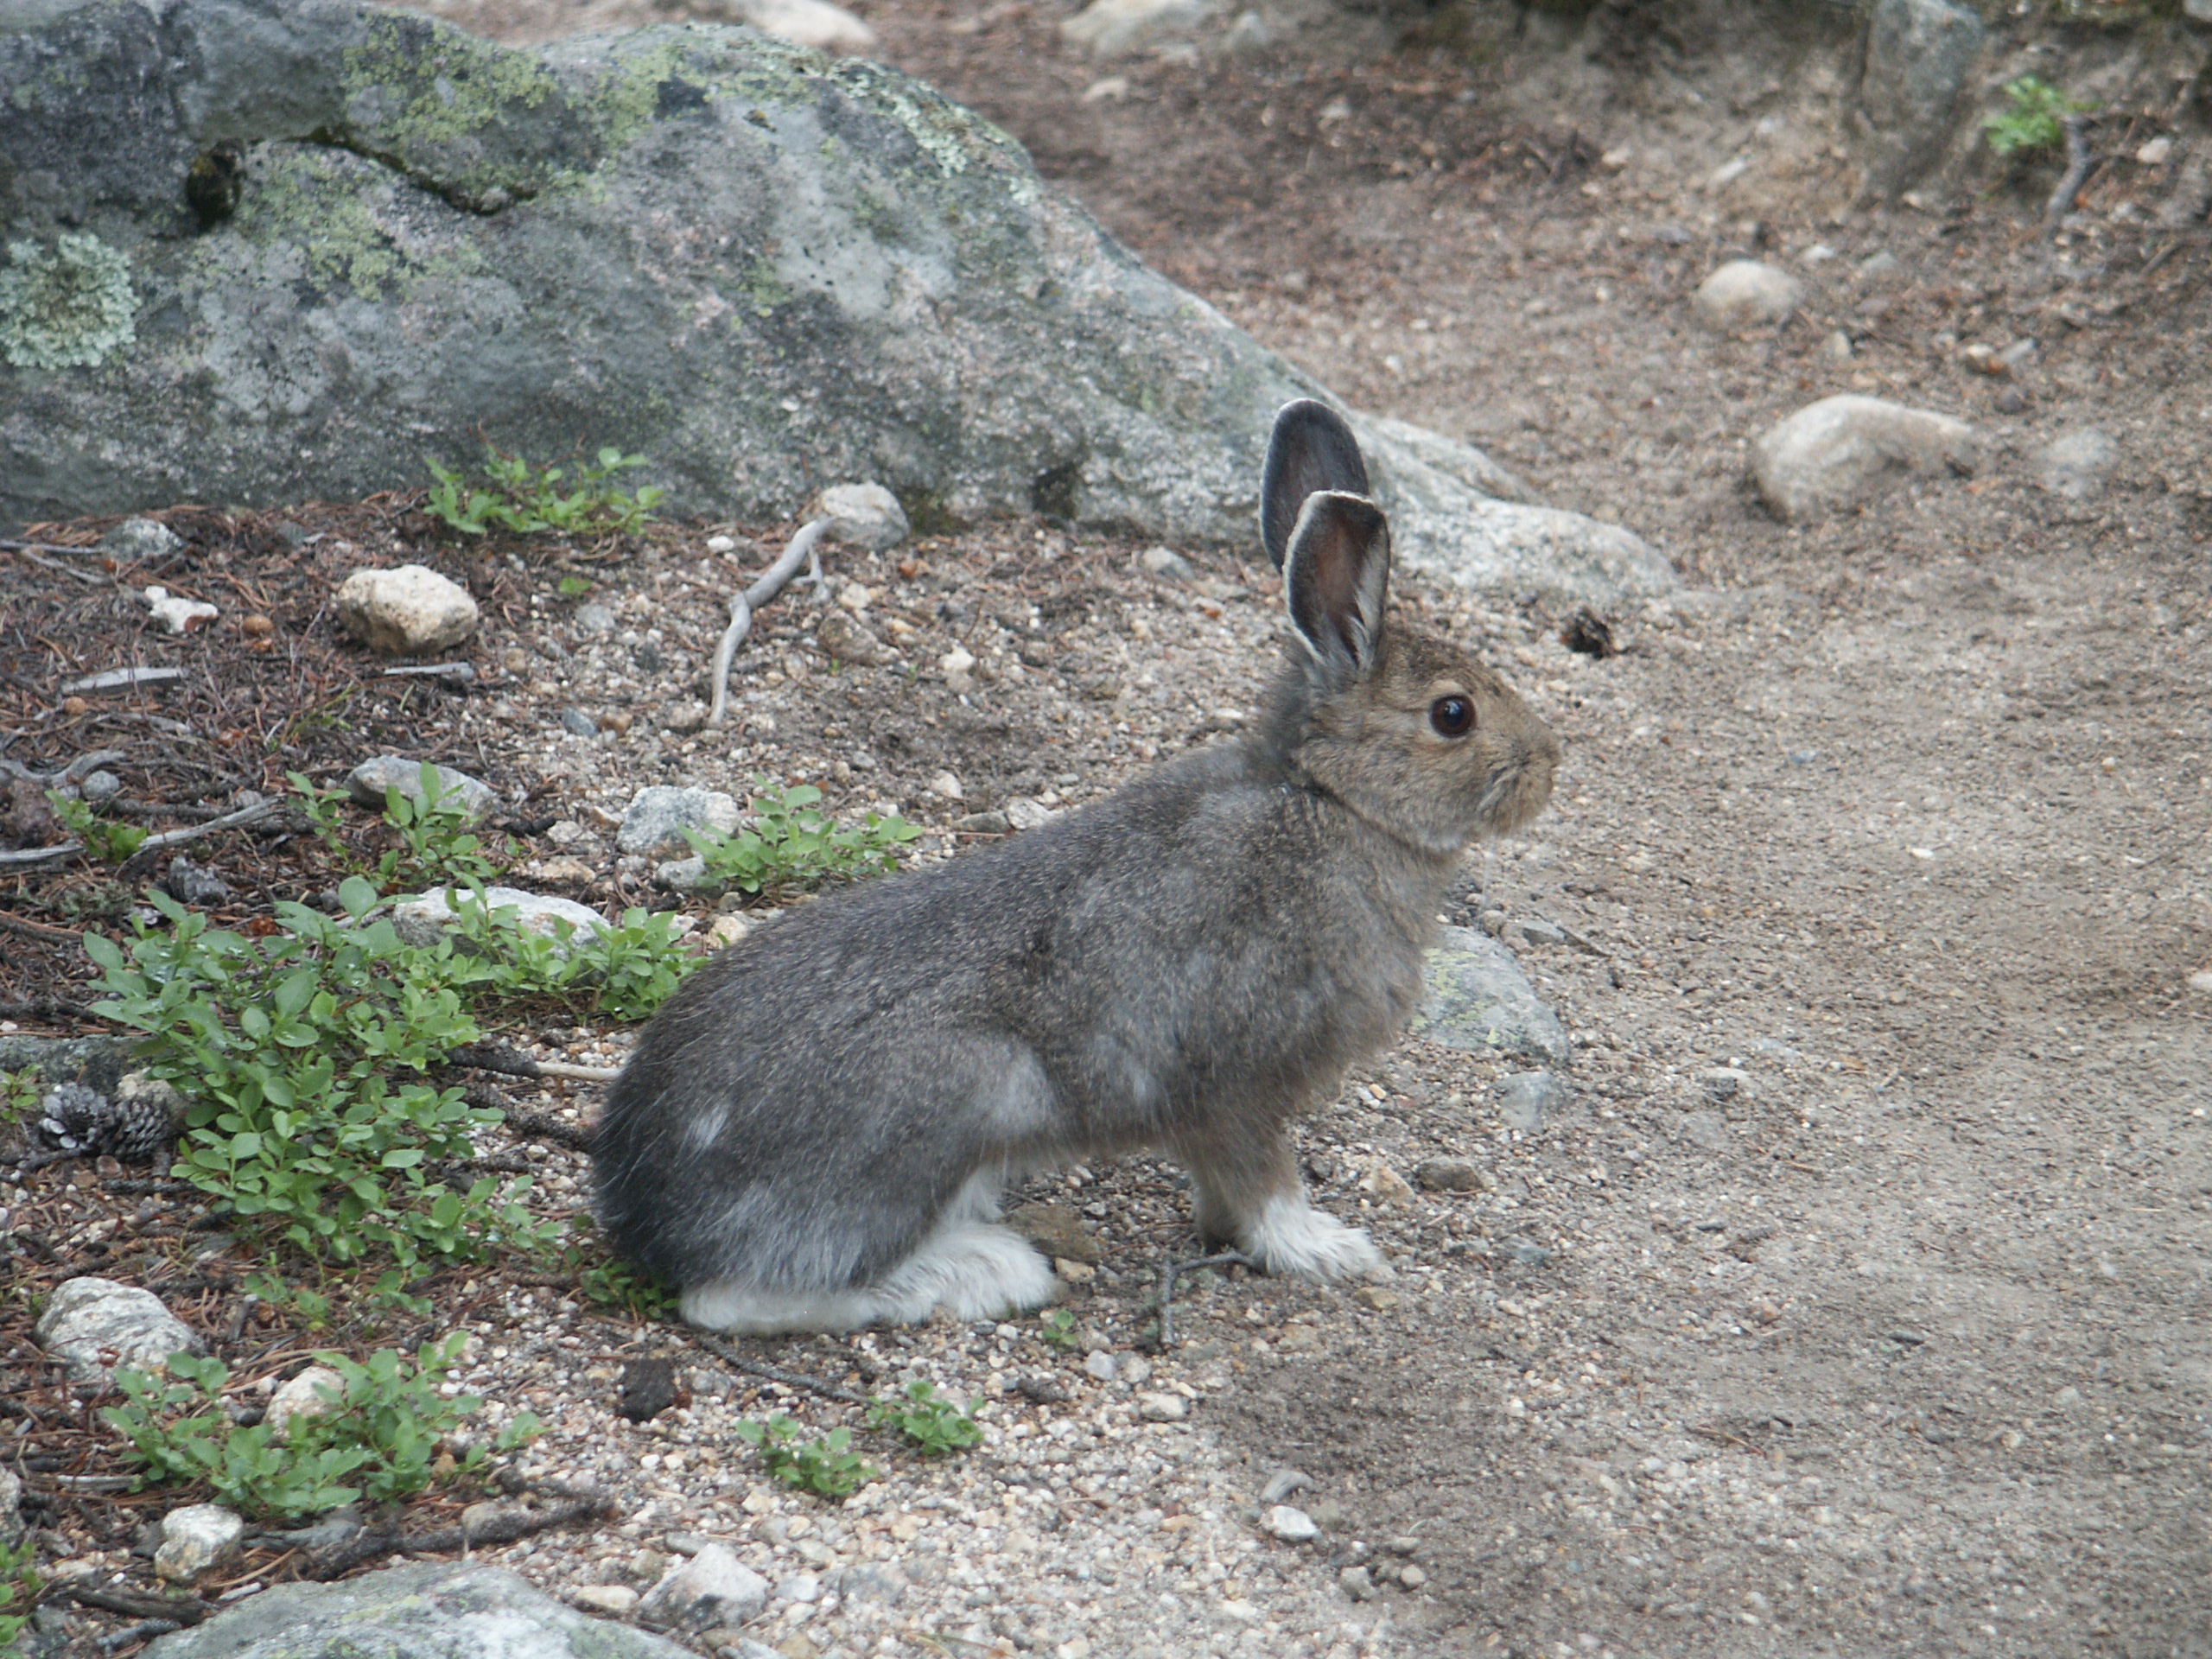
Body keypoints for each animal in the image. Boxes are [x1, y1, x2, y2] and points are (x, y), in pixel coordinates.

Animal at [592, 399, 1561, 1334]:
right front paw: (1327, 1250)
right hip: (952, 1100)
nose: (1551, 765)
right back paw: (982, 1273)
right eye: (1453, 715)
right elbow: (1264, 1183)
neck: (1331, 800)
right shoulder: (1239, 1080)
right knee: (735, 1297)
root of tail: (646, 1205)